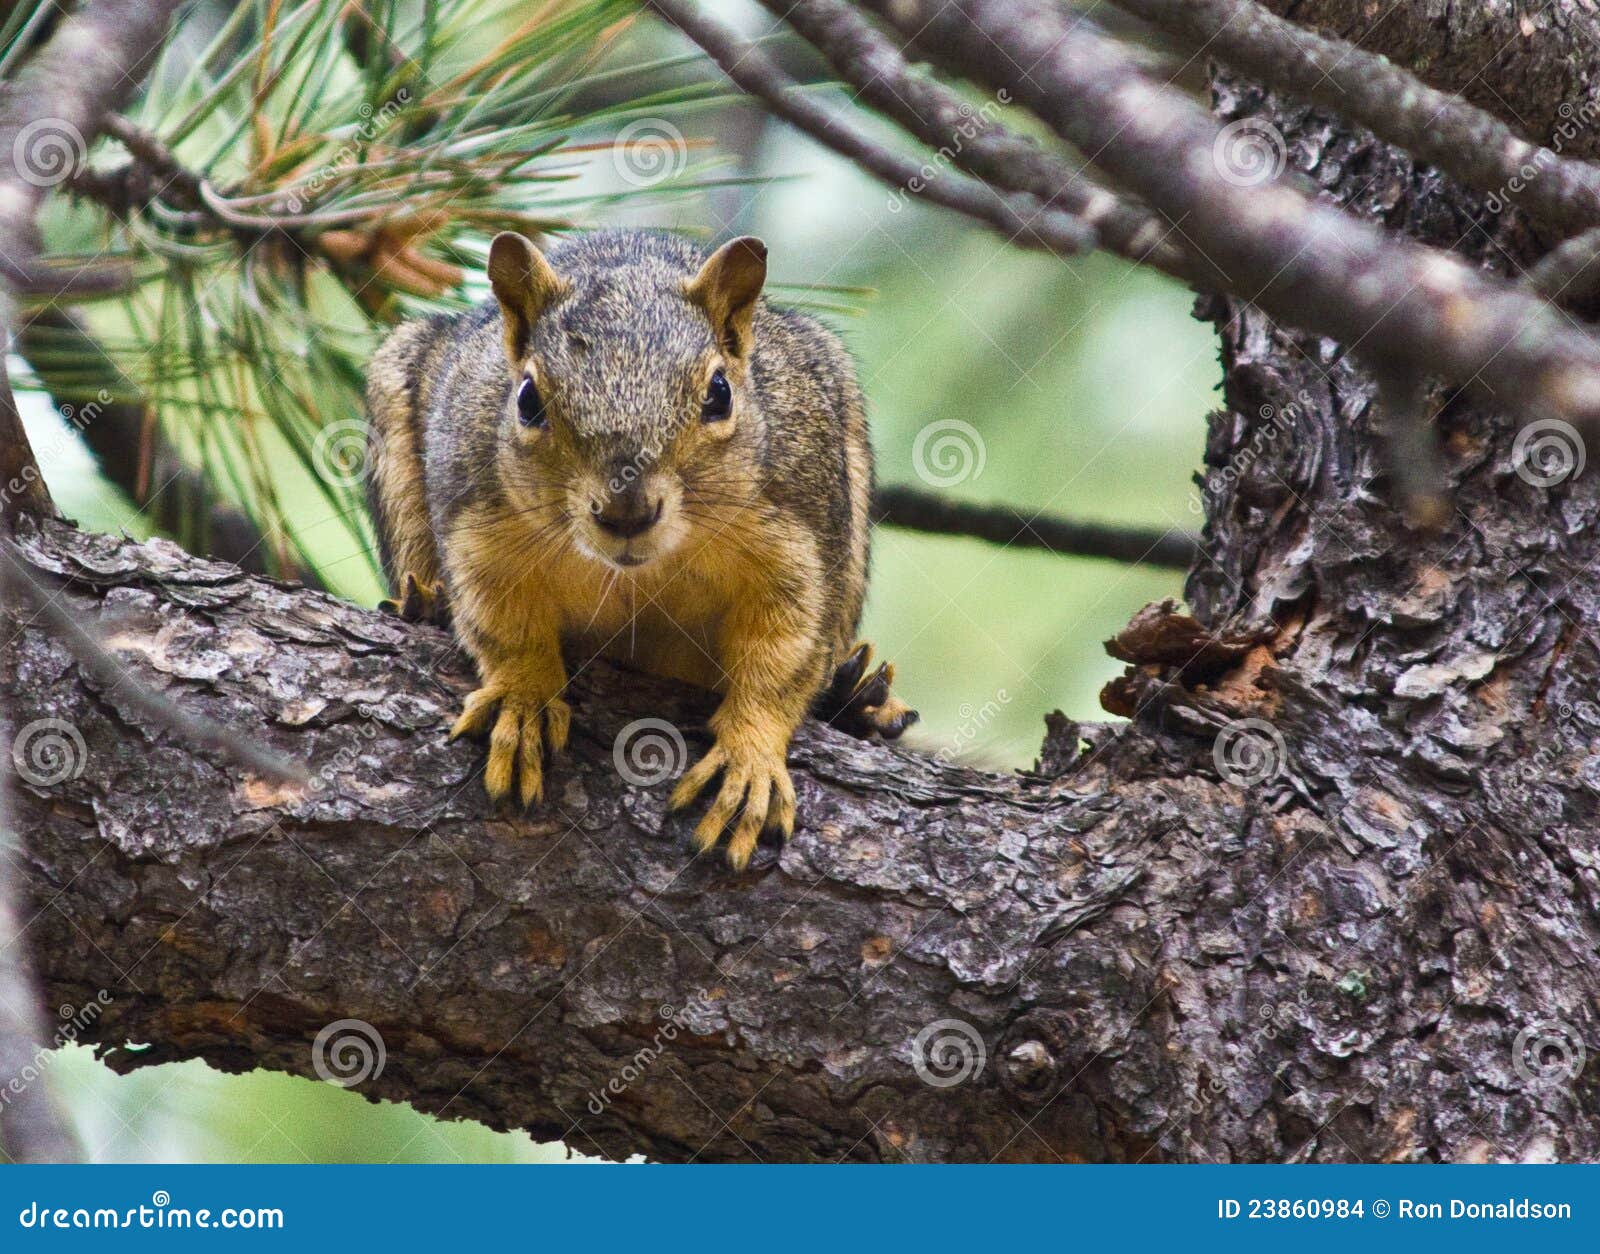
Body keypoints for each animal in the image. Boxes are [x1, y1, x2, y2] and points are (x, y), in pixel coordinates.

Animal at [364, 228, 915, 868]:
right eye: (527, 398)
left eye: (720, 393)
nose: (625, 511)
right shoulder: (479, 529)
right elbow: (504, 625)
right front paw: (523, 700)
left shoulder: (800, 544)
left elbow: (782, 657)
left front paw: (749, 757)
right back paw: (422, 604)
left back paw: (859, 695)